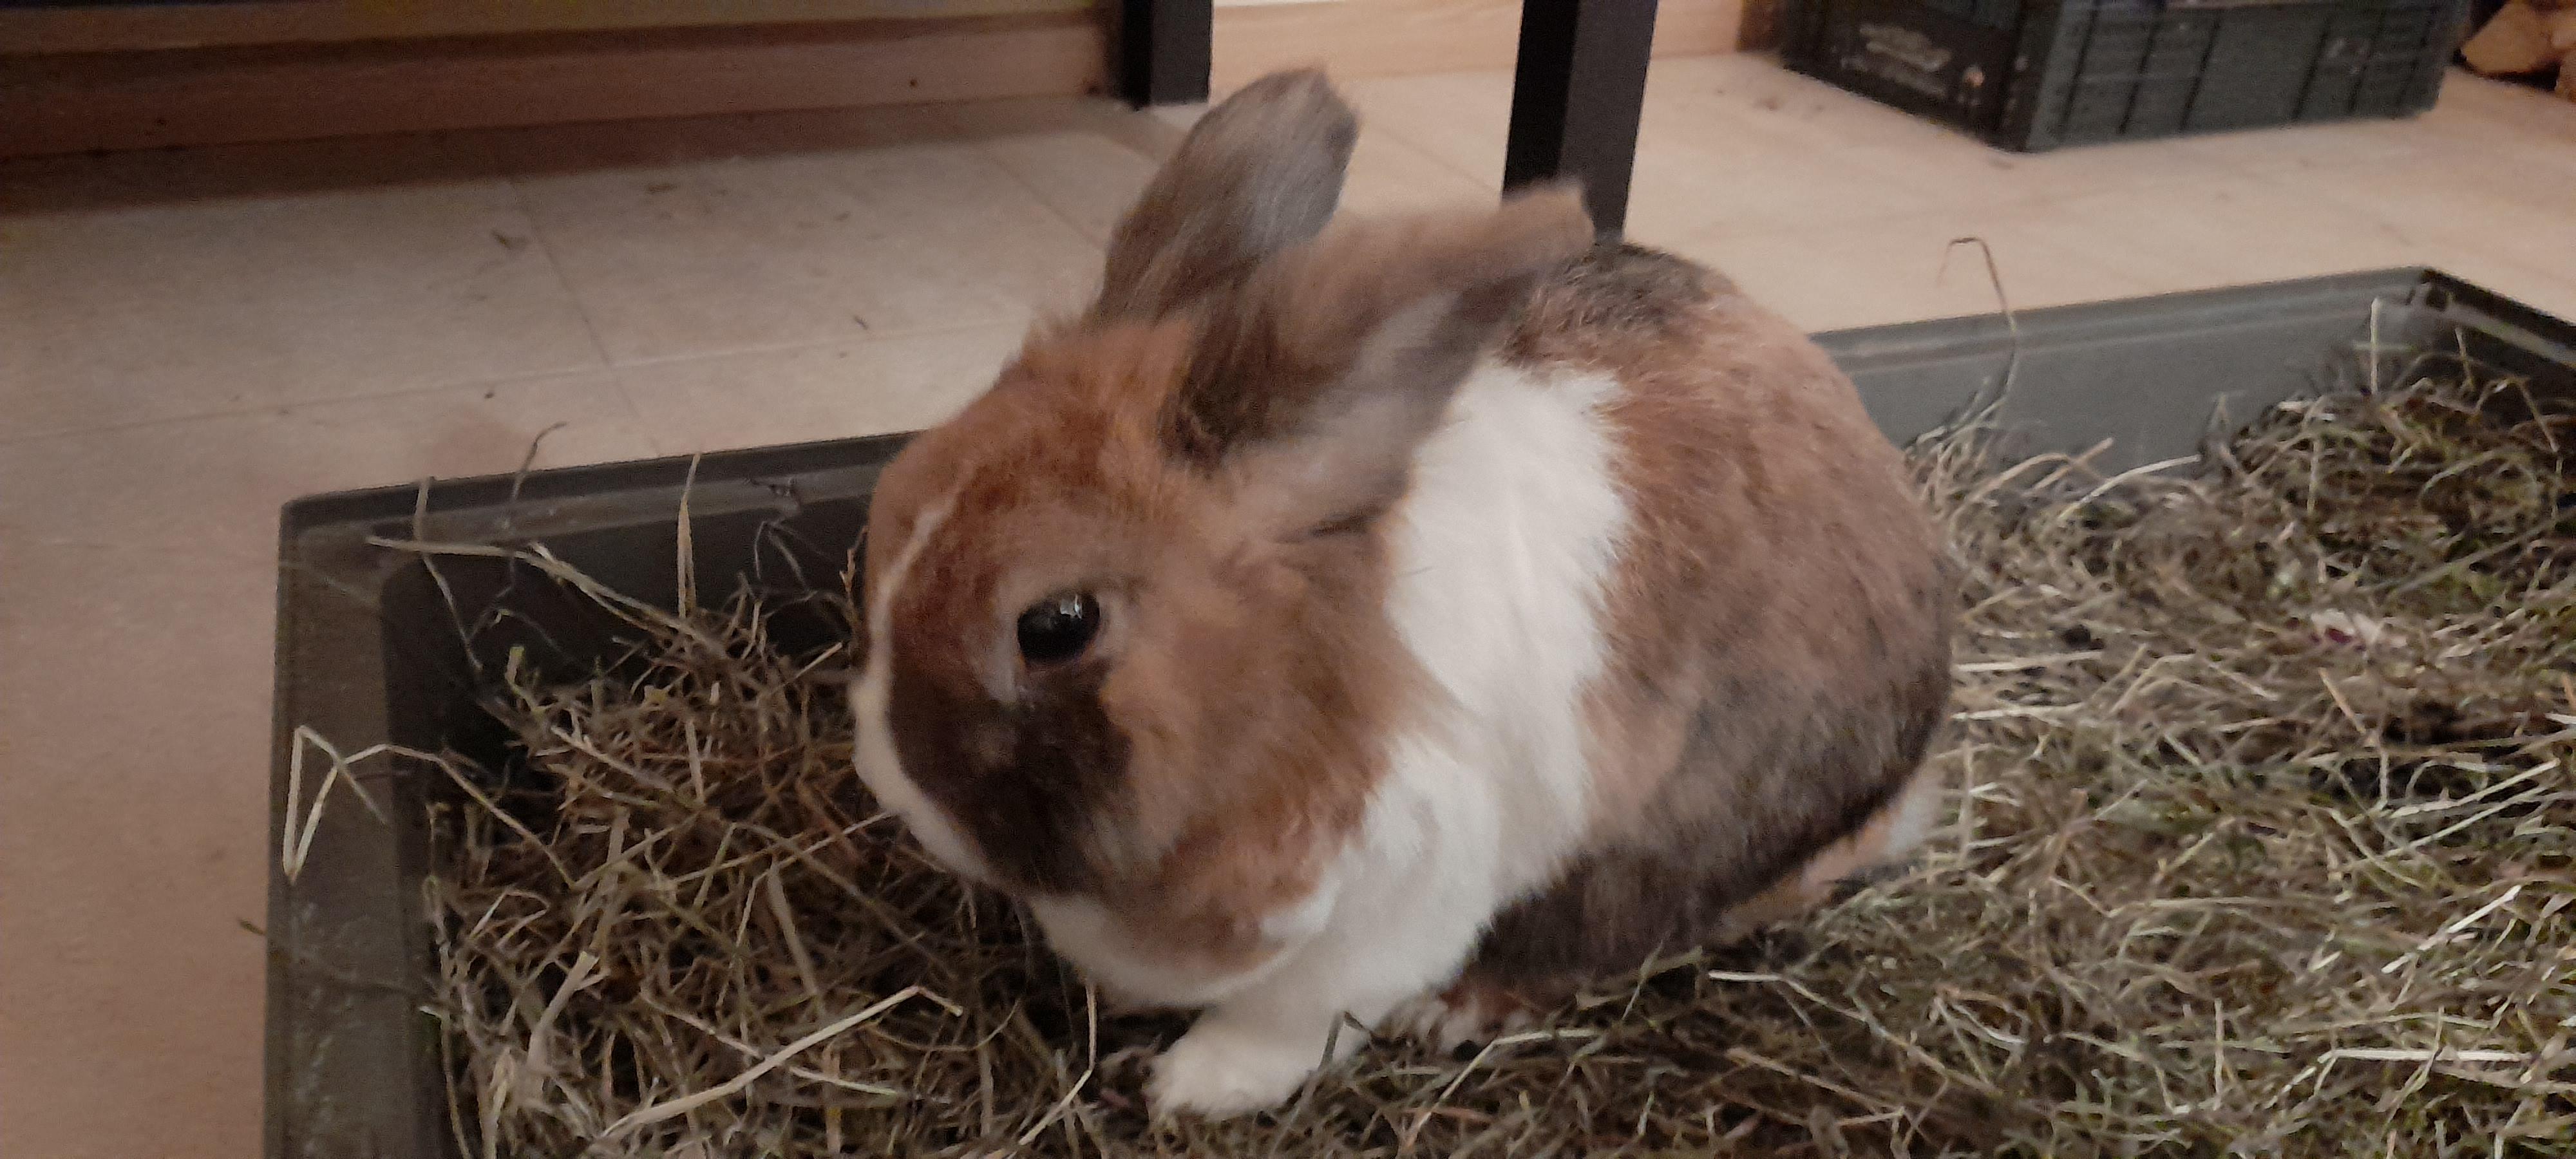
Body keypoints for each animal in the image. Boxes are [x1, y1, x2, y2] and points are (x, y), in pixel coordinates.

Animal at [847, 68, 1954, 1118]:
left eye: (1055, 625)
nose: (885, 781)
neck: (1286, 704)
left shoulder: (1383, 922)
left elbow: (1290, 1025)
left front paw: (1191, 1089)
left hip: (1671, 854)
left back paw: (1453, 1010)